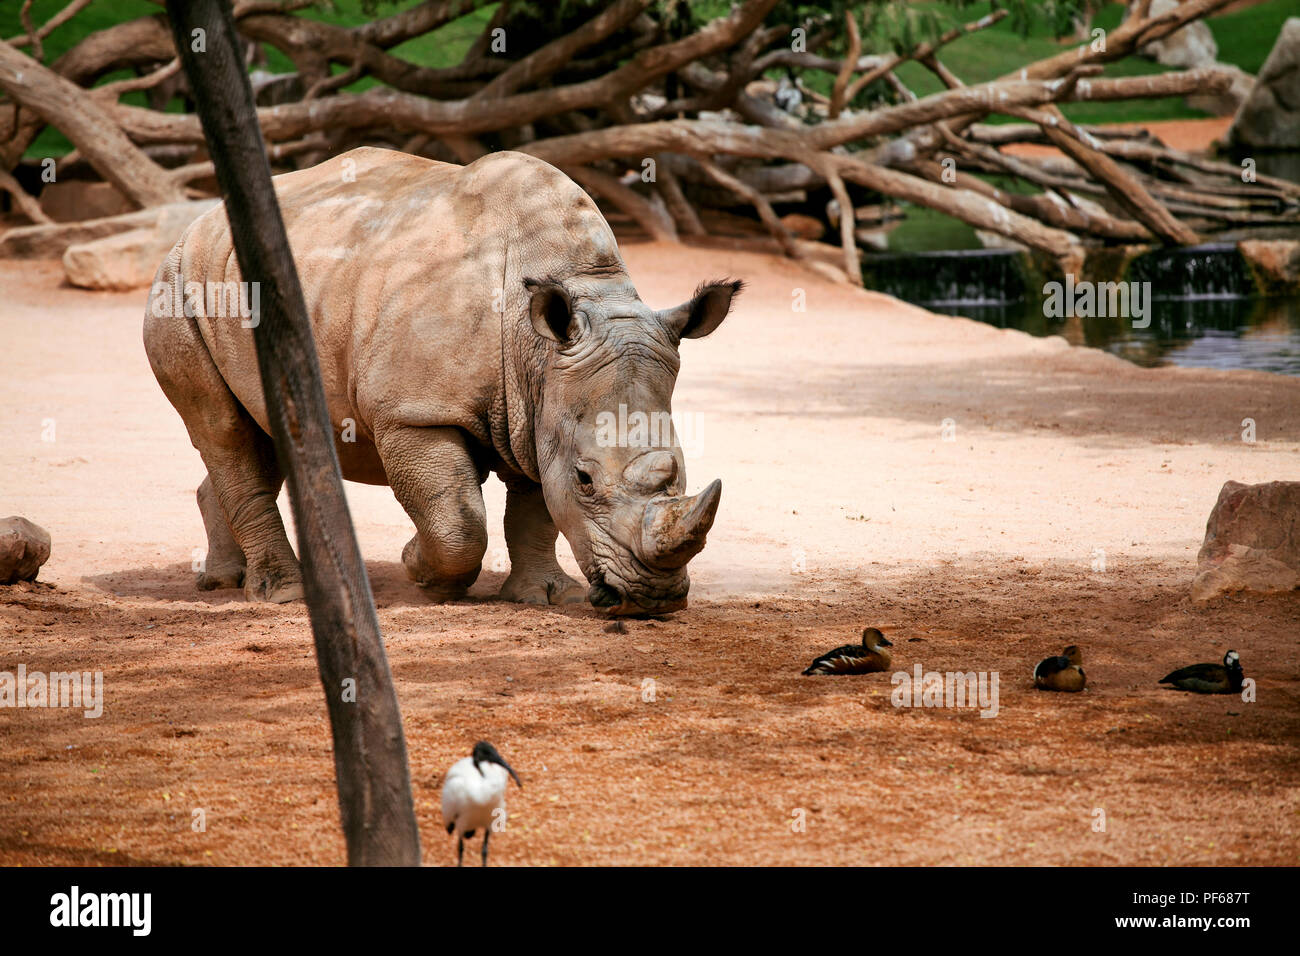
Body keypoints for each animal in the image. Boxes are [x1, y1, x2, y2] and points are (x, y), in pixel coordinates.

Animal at [143, 147, 740, 616]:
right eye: (586, 479)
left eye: (679, 470)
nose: (651, 598)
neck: (537, 347)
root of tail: (196, 225)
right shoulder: (414, 411)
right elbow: (457, 517)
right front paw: (420, 571)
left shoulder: (538, 406)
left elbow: (536, 508)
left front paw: (546, 596)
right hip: (177, 287)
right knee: (223, 429)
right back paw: (283, 594)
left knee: (258, 432)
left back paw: (223, 579)